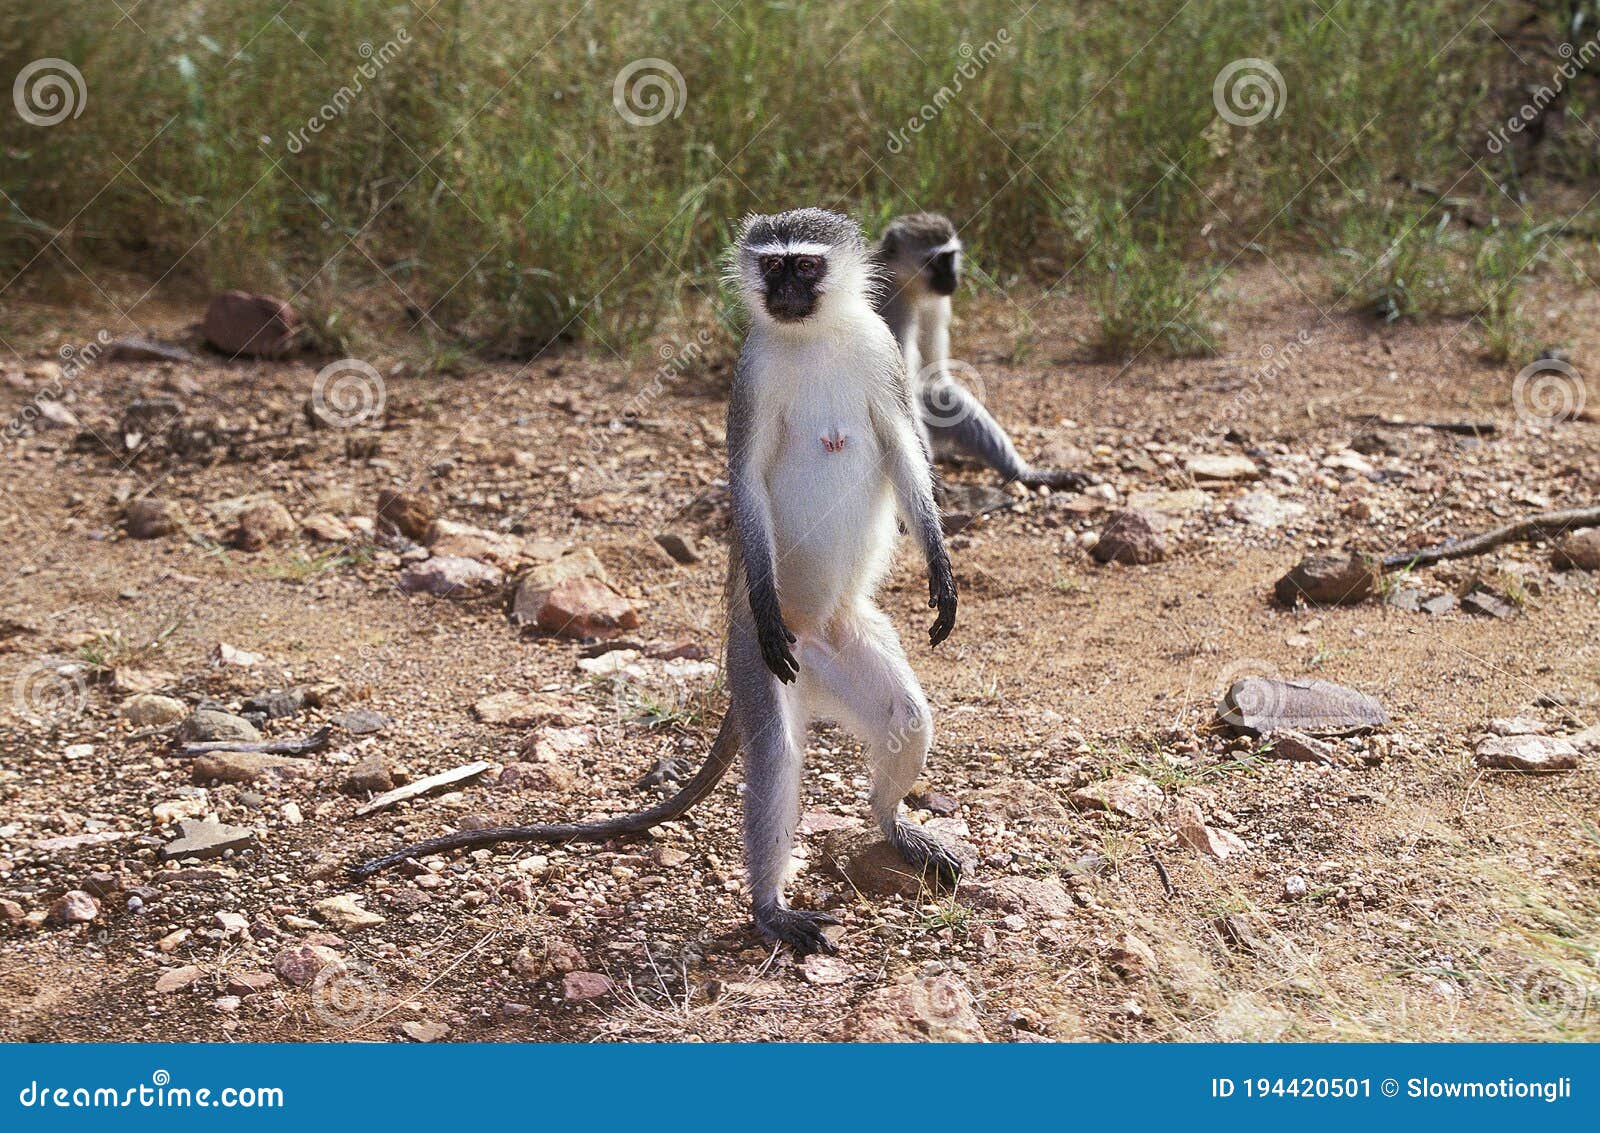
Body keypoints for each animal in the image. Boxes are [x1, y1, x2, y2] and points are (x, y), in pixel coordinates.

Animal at [352, 208, 962, 956]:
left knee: (906, 716)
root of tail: (813, 635)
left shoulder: (880, 351)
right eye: (773, 266)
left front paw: (941, 571)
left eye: (805, 266)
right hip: (761, 656)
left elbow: (905, 451)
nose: (784, 293)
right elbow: (746, 483)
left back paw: (891, 823)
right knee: (777, 754)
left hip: (844, 644)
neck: (812, 336)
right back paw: (770, 907)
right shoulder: (750, 374)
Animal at [874, 212, 1092, 491]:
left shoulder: (937, 305)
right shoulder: (894, 310)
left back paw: (1023, 474)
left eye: (951, 257)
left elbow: (937, 380)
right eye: (936, 261)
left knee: (949, 397)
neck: (910, 288)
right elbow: (901, 390)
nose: (952, 279)